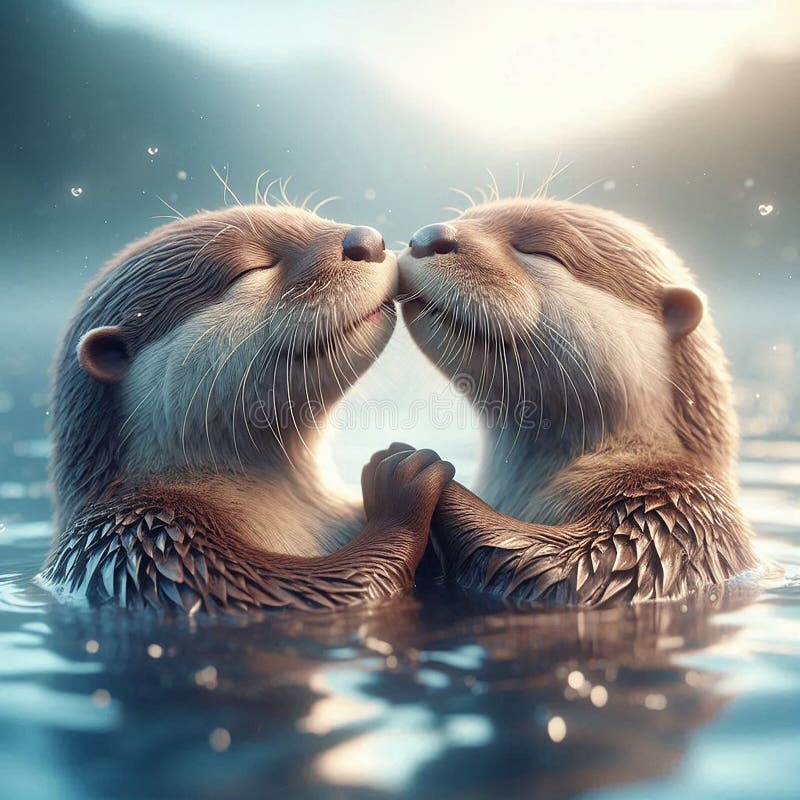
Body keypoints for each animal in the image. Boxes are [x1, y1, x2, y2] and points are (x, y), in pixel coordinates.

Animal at [40, 204, 454, 613]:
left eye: (308, 218)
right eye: (250, 269)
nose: (366, 240)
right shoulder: (145, 545)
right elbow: (300, 594)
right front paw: (401, 480)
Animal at [399, 197, 759, 605]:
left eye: (543, 251)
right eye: (467, 217)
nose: (430, 236)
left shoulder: (677, 518)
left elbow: (578, 571)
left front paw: (415, 473)